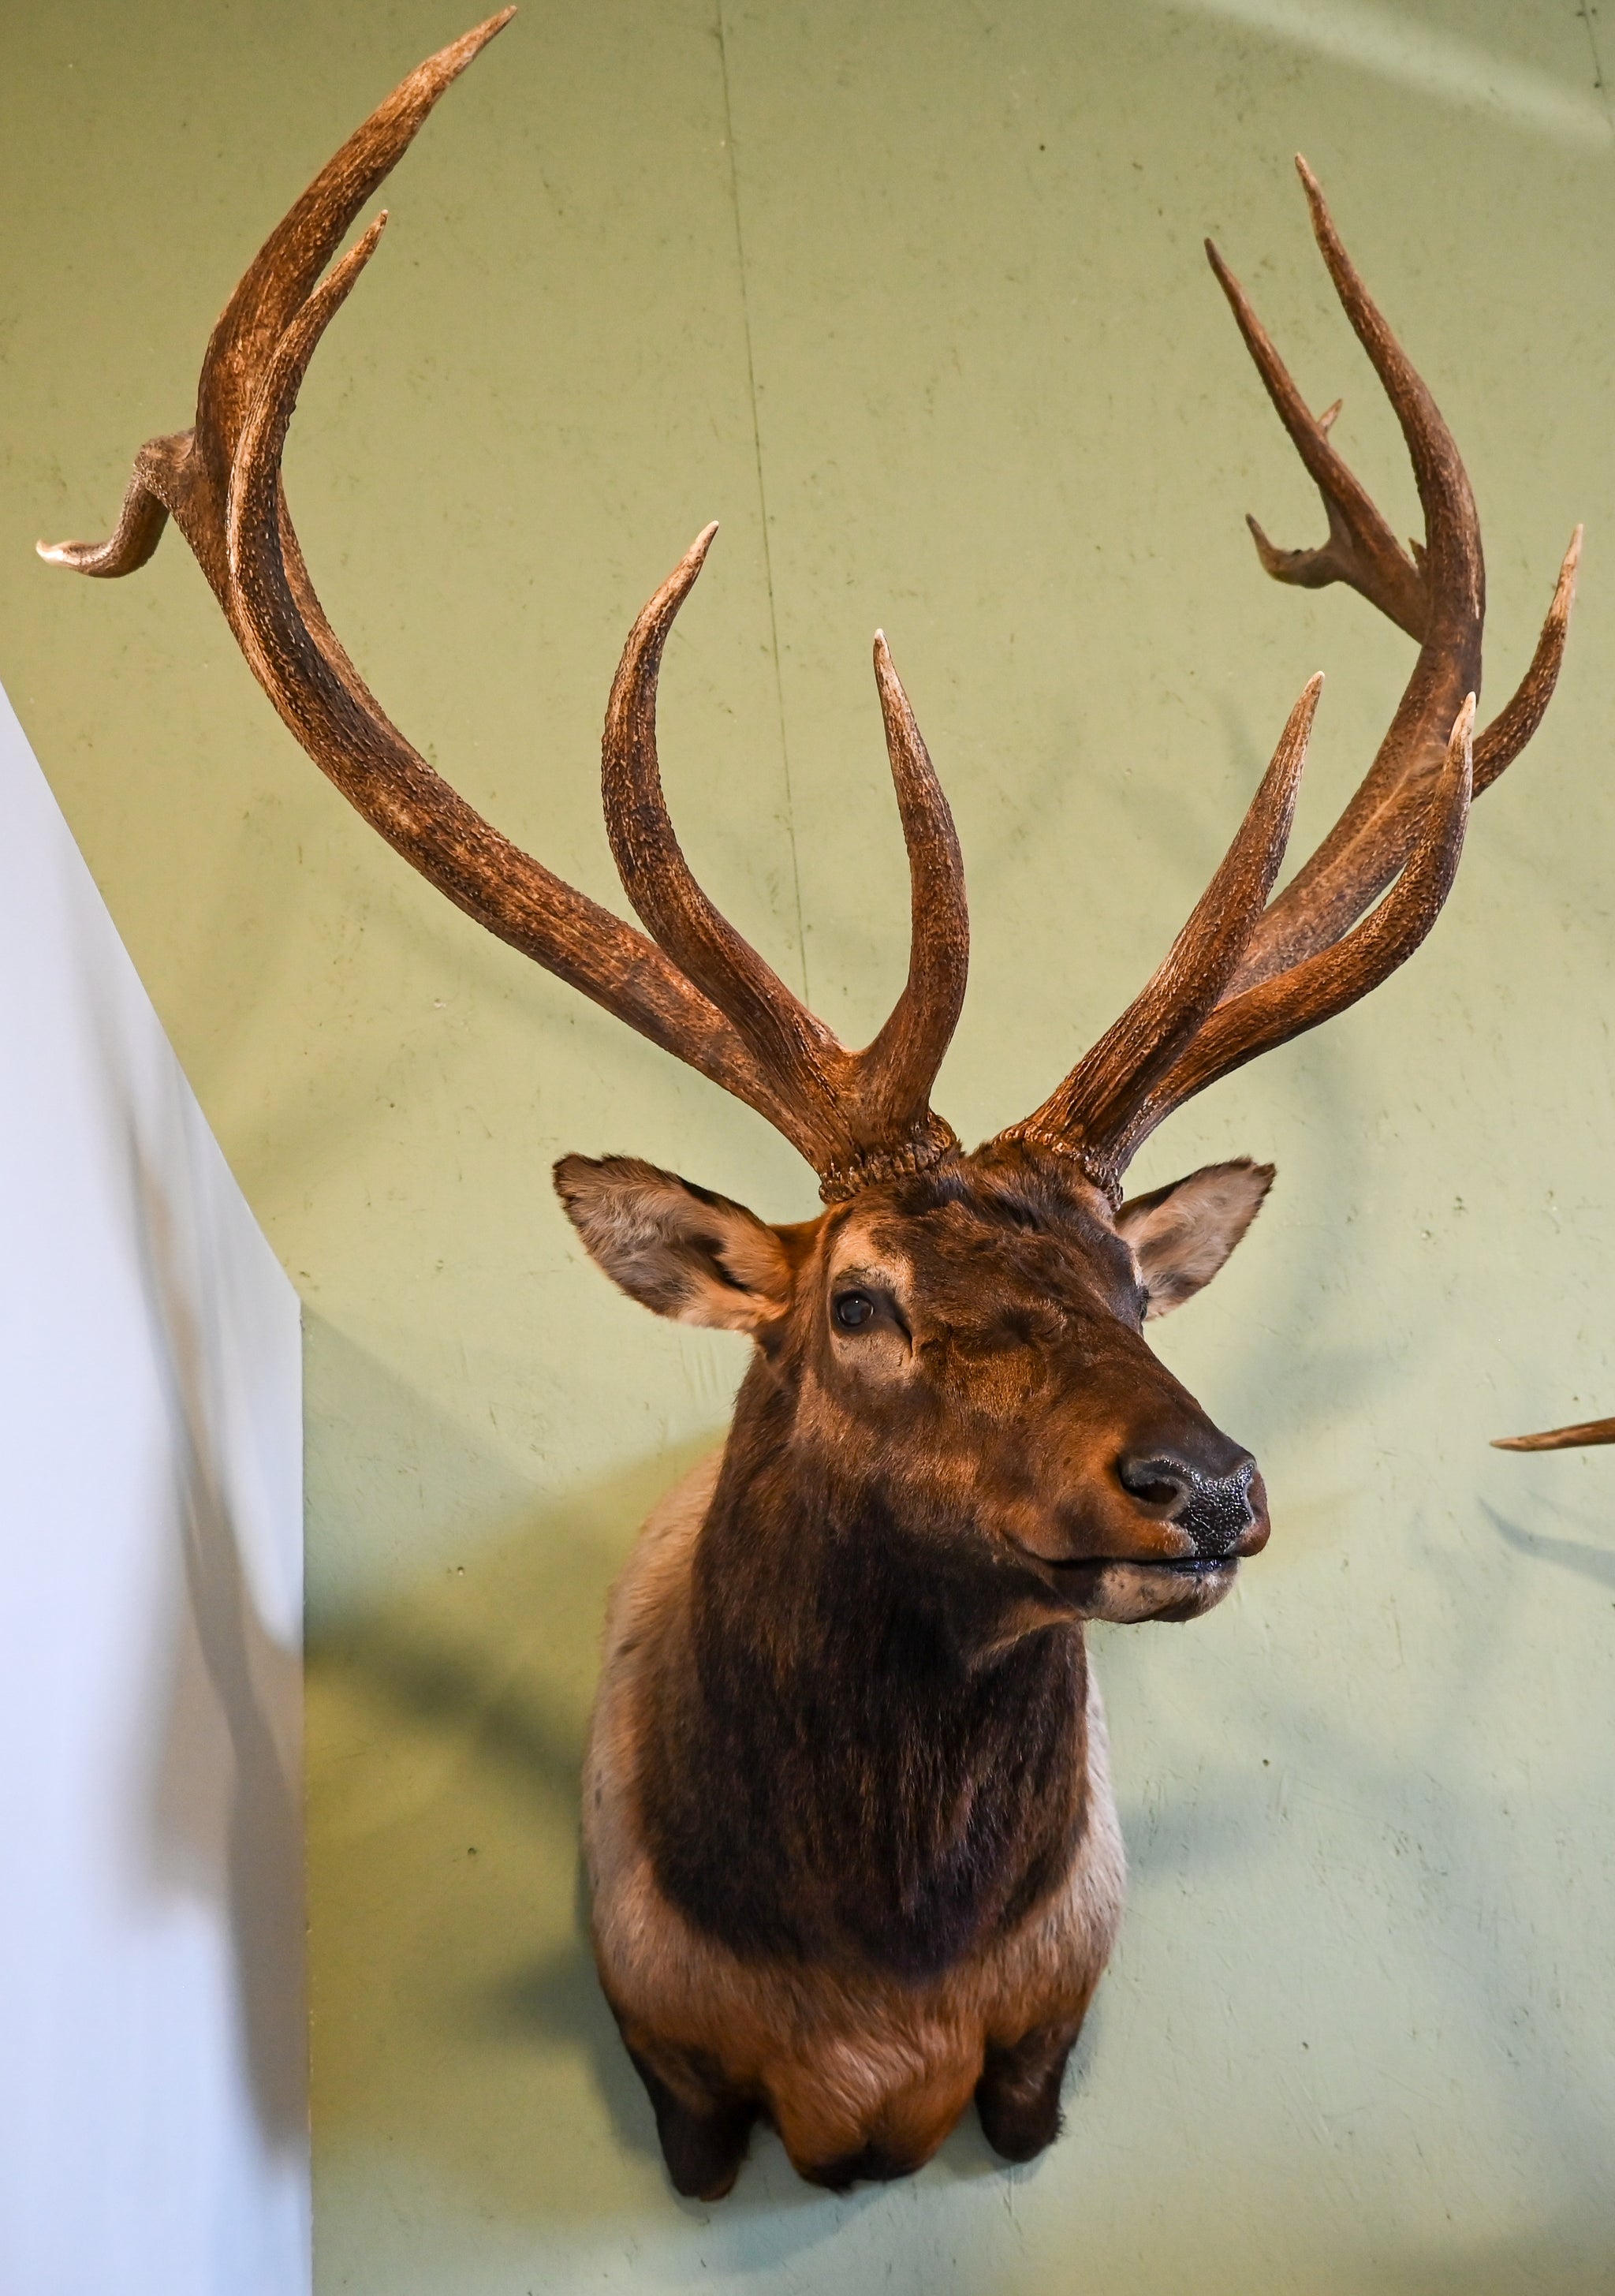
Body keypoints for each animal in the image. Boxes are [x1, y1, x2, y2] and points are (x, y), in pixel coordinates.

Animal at [42, 11, 1580, 2202]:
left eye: (1134, 1277)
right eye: (856, 1295)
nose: (1204, 1484)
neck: (871, 1995)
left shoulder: (1050, 2032)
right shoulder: (669, 2063)